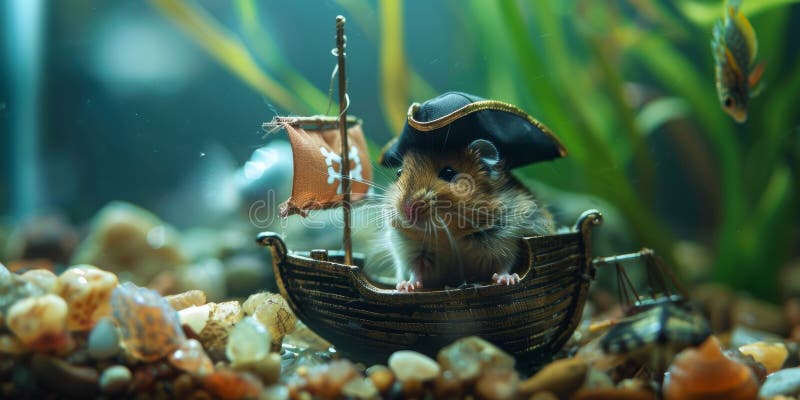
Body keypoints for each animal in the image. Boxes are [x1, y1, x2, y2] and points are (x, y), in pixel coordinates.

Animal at [383, 139, 555, 292]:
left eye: (448, 173)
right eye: (398, 173)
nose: (407, 209)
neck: (451, 236)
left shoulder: (508, 240)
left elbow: (505, 263)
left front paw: (507, 280)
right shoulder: (412, 251)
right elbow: (415, 271)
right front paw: (404, 286)